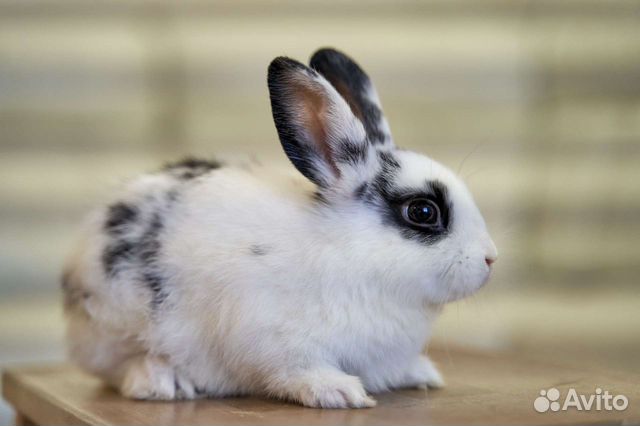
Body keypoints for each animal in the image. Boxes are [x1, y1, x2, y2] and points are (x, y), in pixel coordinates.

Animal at [62, 48, 497, 409]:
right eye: (423, 212)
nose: (491, 258)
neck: (354, 254)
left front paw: (422, 373)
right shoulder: (275, 341)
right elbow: (296, 372)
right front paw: (340, 392)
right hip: (116, 324)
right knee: (121, 369)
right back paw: (163, 381)